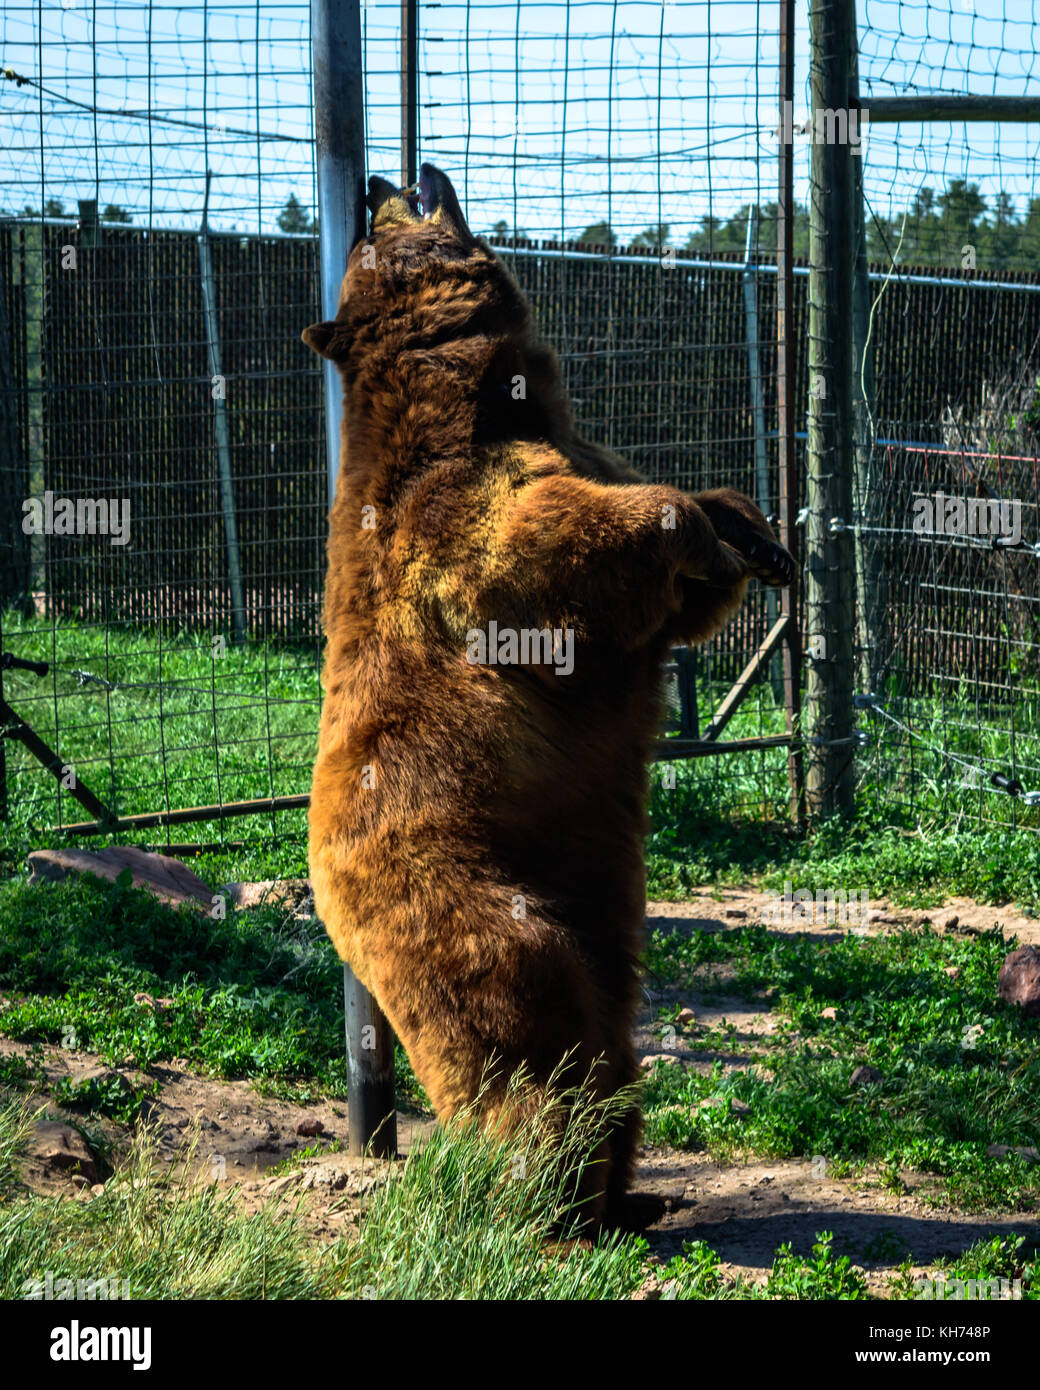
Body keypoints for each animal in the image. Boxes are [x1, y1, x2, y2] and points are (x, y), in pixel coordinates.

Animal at [304, 163, 794, 1228]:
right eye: (371, 229)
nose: (381, 174)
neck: (491, 398)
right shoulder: (456, 528)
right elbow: (565, 544)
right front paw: (702, 530)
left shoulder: (576, 450)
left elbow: (668, 556)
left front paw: (755, 534)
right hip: (469, 902)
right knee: (530, 1044)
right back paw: (548, 1200)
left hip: (597, 913)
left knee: (609, 1040)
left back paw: (626, 1199)